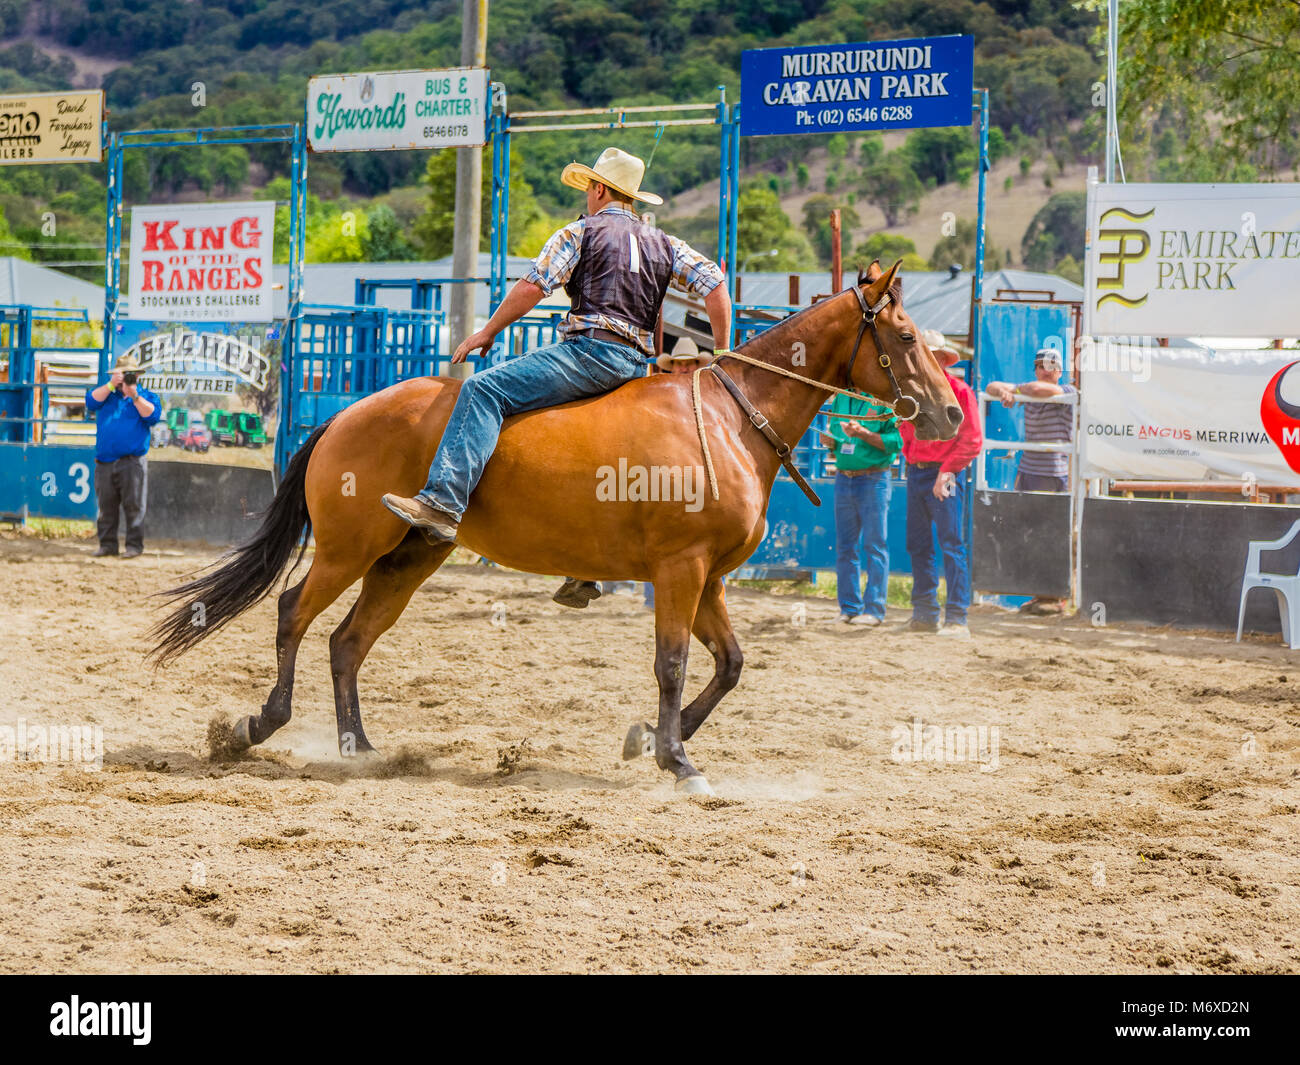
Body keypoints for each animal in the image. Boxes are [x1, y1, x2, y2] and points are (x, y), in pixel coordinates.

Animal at [149, 259, 961, 794]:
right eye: (905, 336)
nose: (952, 413)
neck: (734, 419)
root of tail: (344, 415)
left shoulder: (709, 579)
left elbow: (729, 665)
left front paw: (650, 739)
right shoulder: (681, 571)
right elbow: (673, 666)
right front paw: (677, 759)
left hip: (409, 558)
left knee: (348, 641)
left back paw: (359, 745)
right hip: (351, 548)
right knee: (294, 612)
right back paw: (261, 724)